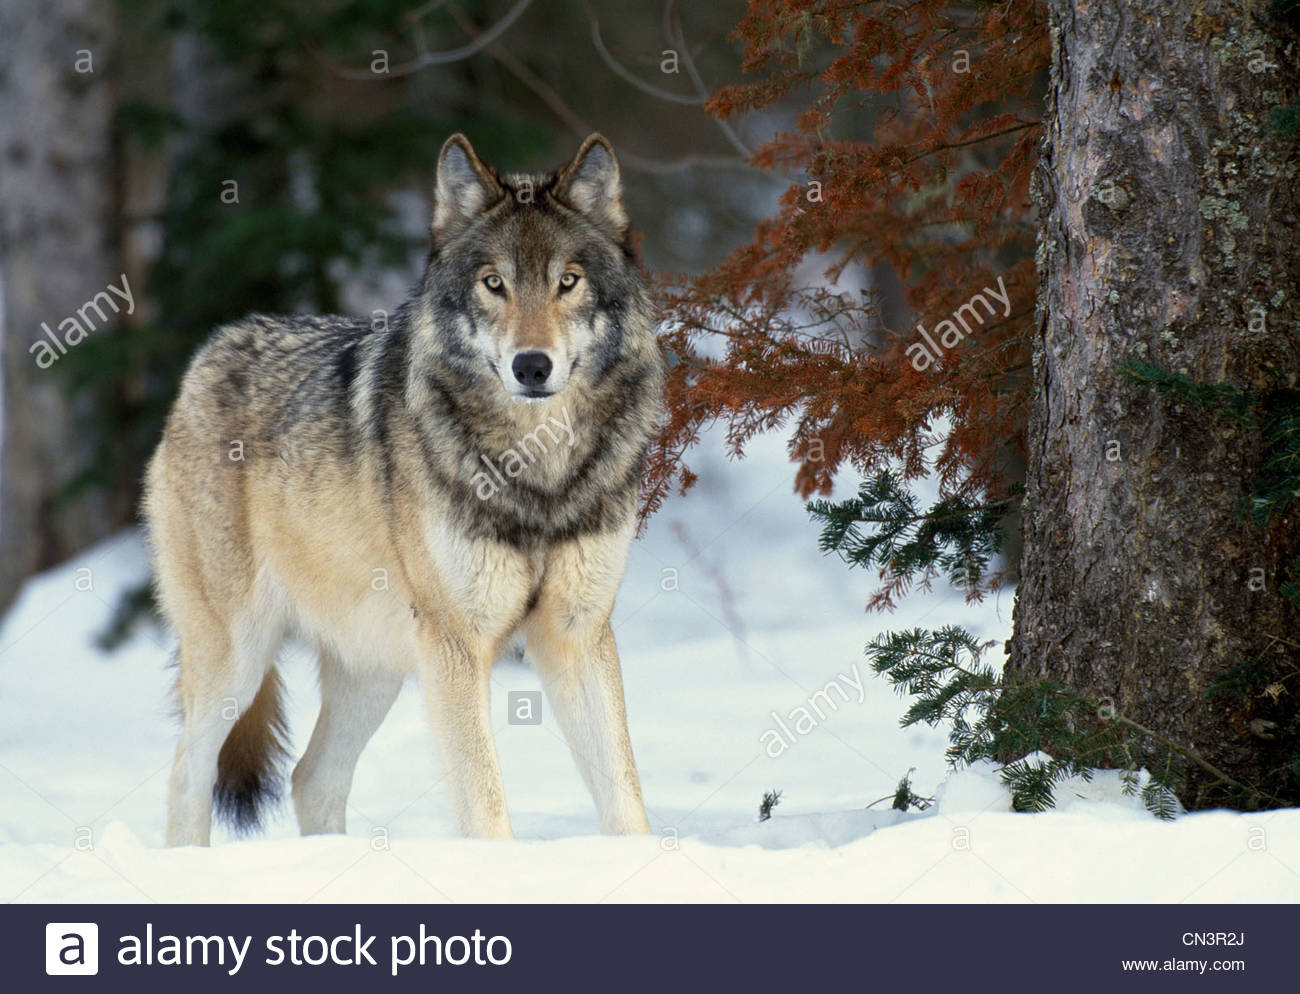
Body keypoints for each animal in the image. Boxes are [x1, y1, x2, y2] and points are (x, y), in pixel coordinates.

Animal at [144, 134, 664, 845]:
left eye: (568, 281)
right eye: (494, 283)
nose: (532, 366)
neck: (537, 473)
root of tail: (210, 351)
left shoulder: (576, 636)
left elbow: (625, 800)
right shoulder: (455, 644)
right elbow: (484, 806)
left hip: (374, 665)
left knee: (312, 779)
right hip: (237, 658)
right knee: (186, 774)